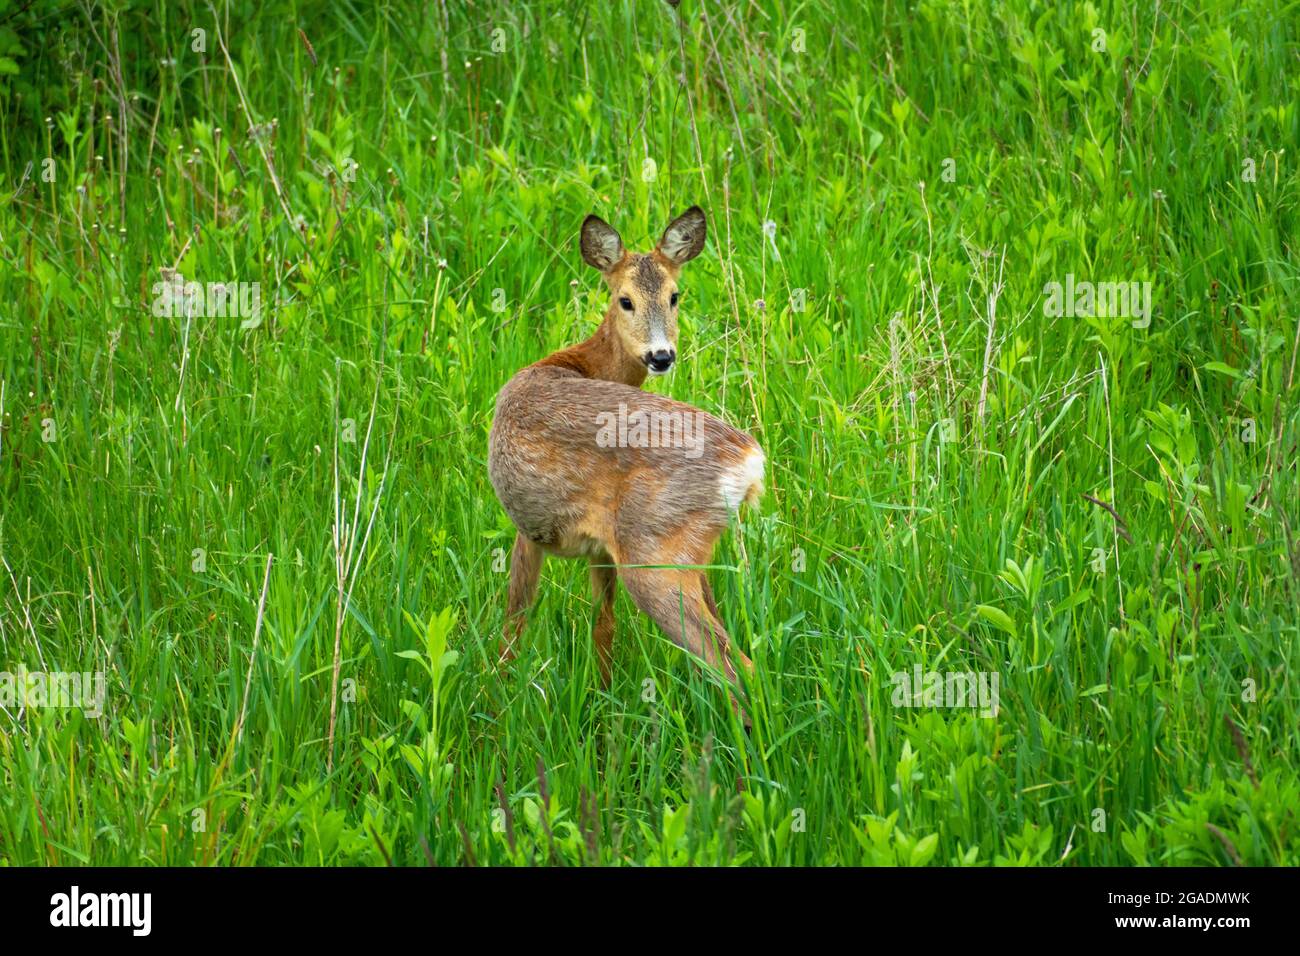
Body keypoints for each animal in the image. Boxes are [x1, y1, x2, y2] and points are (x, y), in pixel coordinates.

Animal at [487, 207, 764, 723]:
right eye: (625, 300)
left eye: (675, 295)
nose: (661, 355)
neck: (575, 361)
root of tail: (749, 462)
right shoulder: (600, 549)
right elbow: (604, 626)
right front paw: (601, 698)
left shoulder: (527, 526)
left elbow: (515, 617)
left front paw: (494, 700)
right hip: (693, 555)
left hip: (654, 554)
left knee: (736, 668)